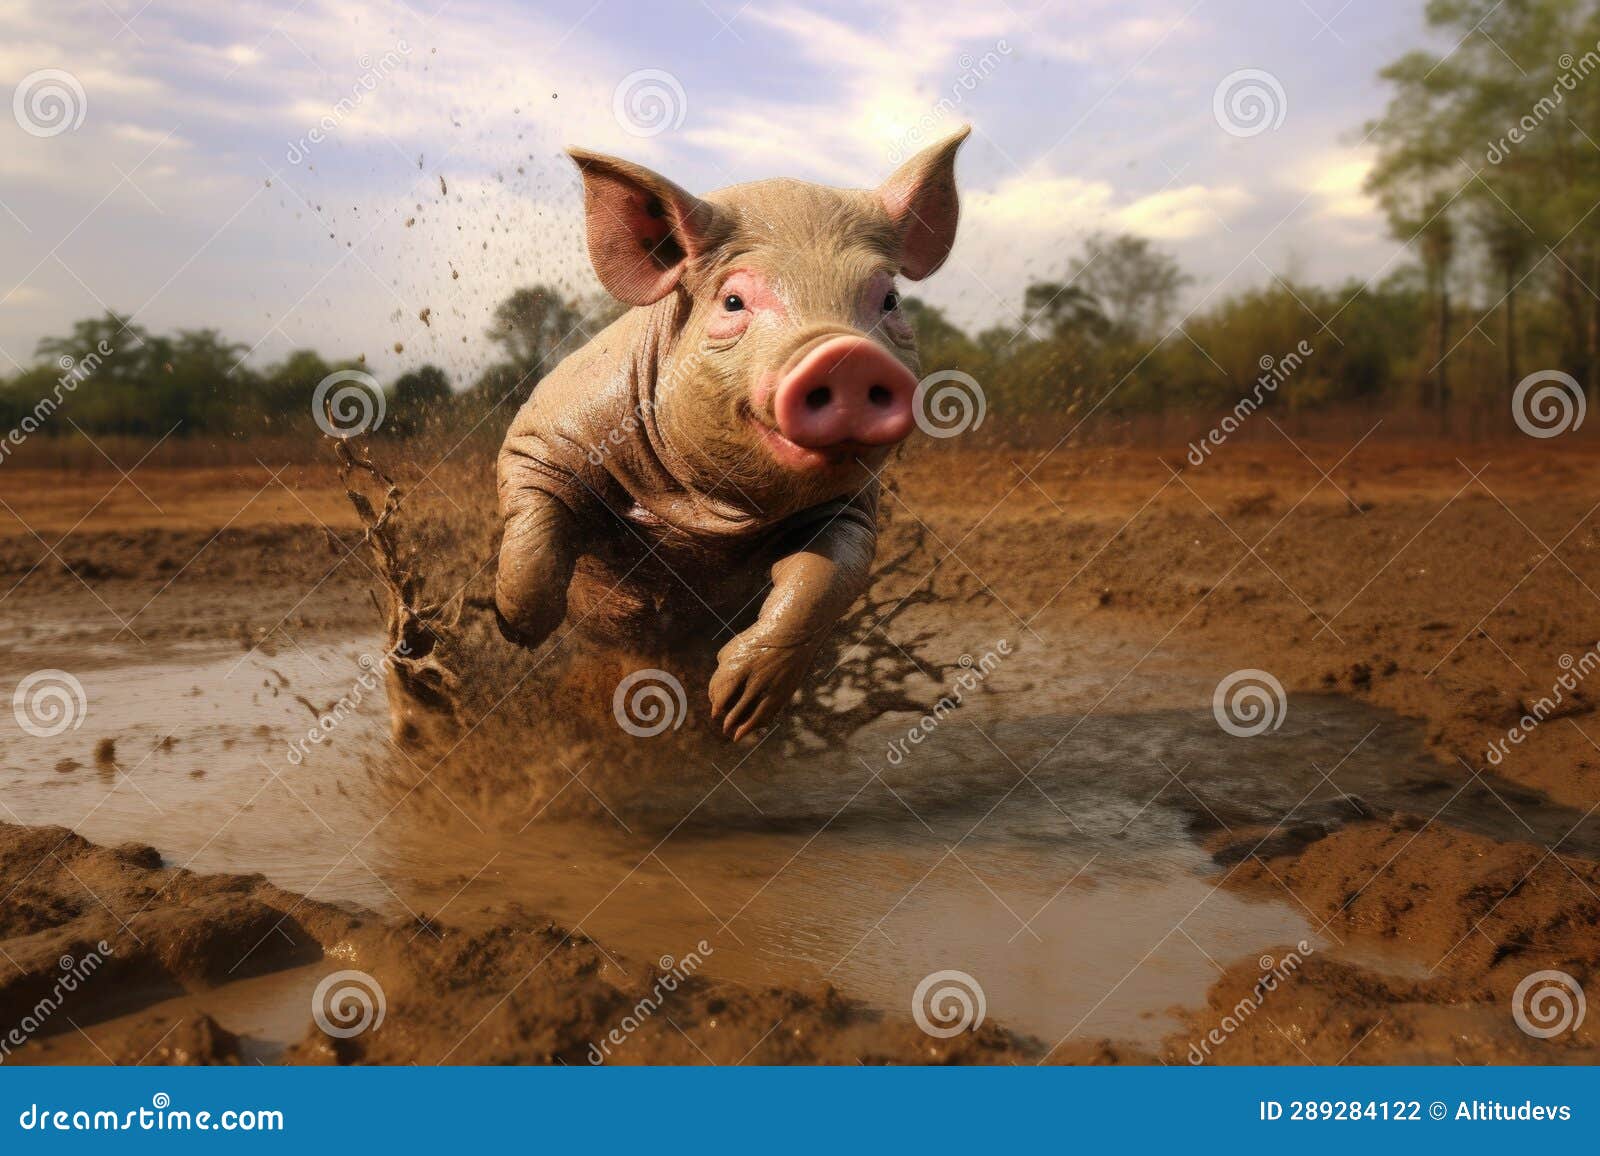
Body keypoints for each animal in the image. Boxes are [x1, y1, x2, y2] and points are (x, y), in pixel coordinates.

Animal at [493, 128, 970, 741]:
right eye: (733, 301)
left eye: (888, 300)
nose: (846, 354)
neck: (706, 518)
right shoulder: (546, 434)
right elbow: (535, 519)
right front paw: (517, 627)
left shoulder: (851, 509)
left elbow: (824, 579)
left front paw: (736, 713)